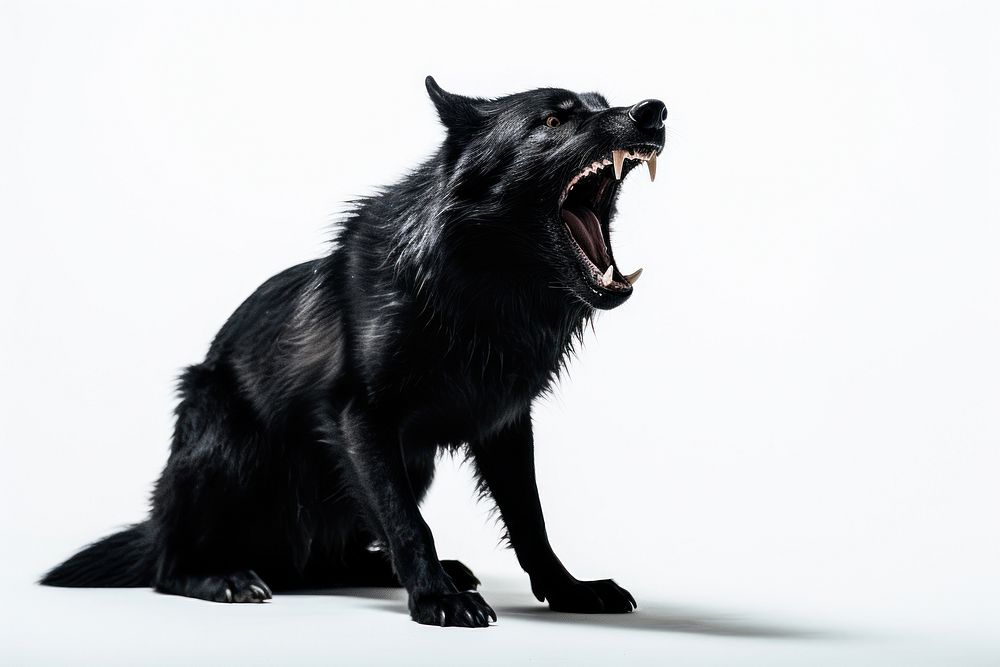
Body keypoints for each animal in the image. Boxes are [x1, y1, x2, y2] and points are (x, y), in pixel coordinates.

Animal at [41, 76, 667, 627]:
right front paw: (436, 599)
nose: (654, 110)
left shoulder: (506, 425)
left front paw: (568, 590)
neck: (480, 294)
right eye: (556, 120)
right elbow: (408, 524)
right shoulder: (361, 417)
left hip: (411, 463)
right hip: (227, 443)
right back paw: (222, 577)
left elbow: (530, 521)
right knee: (169, 566)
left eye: (604, 103)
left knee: (331, 558)